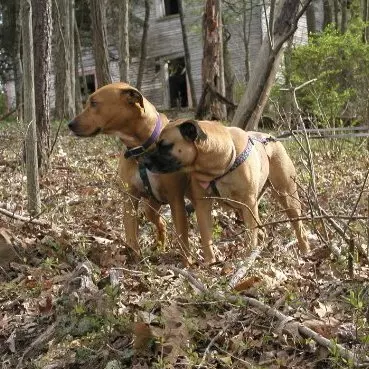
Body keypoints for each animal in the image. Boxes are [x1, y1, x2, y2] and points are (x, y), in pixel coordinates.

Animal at [67, 82, 191, 264]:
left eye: (94, 103)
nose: (70, 124)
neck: (141, 147)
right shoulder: (130, 199)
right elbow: (131, 232)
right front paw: (135, 258)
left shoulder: (176, 200)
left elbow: (183, 236)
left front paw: (188, 263)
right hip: (151, 207)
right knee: (161, 223)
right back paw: (159, 245)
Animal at [142, 119, 310, 264]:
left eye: (164, 146)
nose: (145, 162)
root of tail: (271, 138)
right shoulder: (203, 205)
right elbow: (206, 235)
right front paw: (210, 262)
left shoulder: (248, 203)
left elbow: (250, 234)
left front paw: (247, 259)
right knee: (261, 229)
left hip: (287, 196)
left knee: (299, 228)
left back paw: (305, 251)